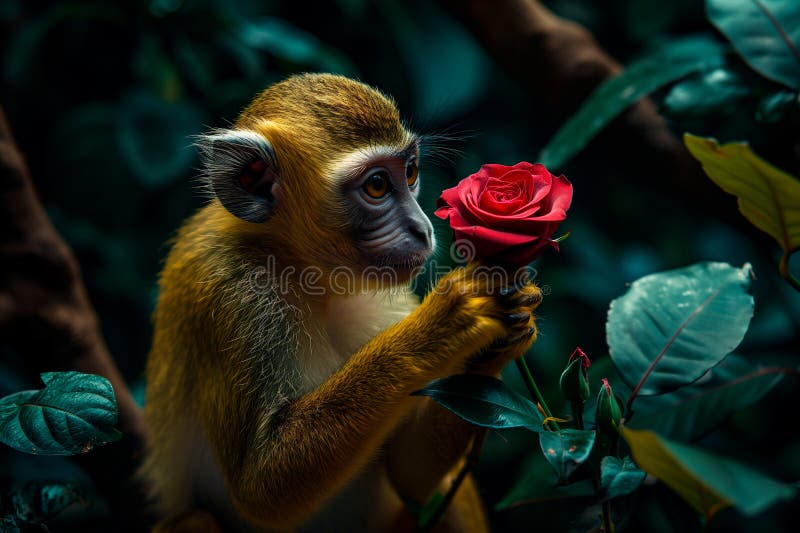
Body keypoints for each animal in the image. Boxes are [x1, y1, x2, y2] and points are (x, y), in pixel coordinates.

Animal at [140, 73, 541, 532]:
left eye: (410, 171)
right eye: (377, 185)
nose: (422, 229)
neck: (303, 274)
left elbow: (410, 473)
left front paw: (504, 333)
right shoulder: (231, 294)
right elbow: (260, 489)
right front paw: (446, 320)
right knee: (197, 521)